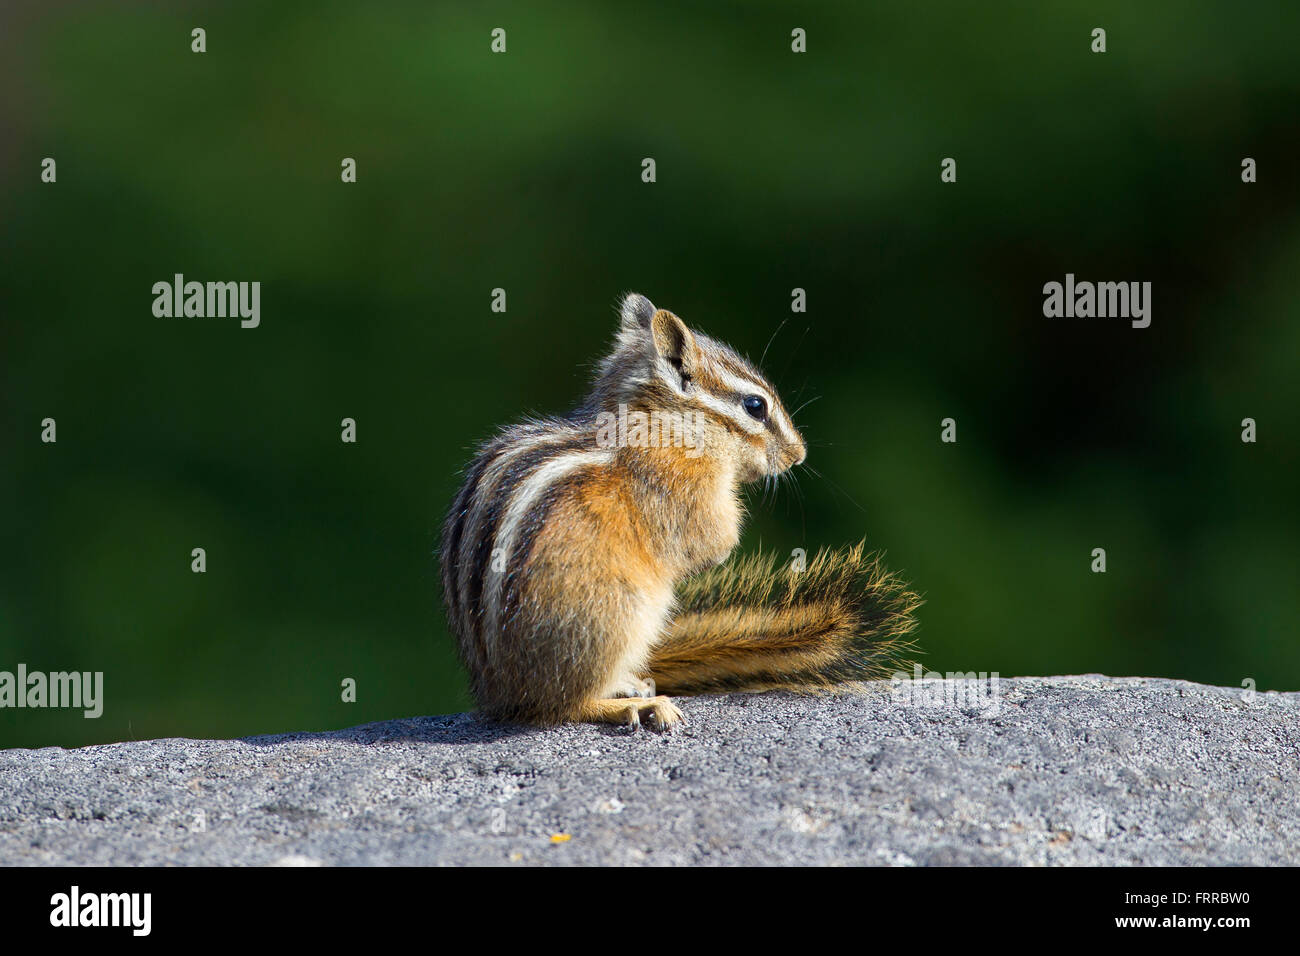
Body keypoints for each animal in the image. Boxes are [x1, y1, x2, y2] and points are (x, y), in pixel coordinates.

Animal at [440, 293, 920, 730]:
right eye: (755, 406)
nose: (798, 455)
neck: (664, 425)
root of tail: (501, 697)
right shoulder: (681, 489)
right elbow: (709, 541)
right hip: (607, 618)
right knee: (563, 707)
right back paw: (635, 705)